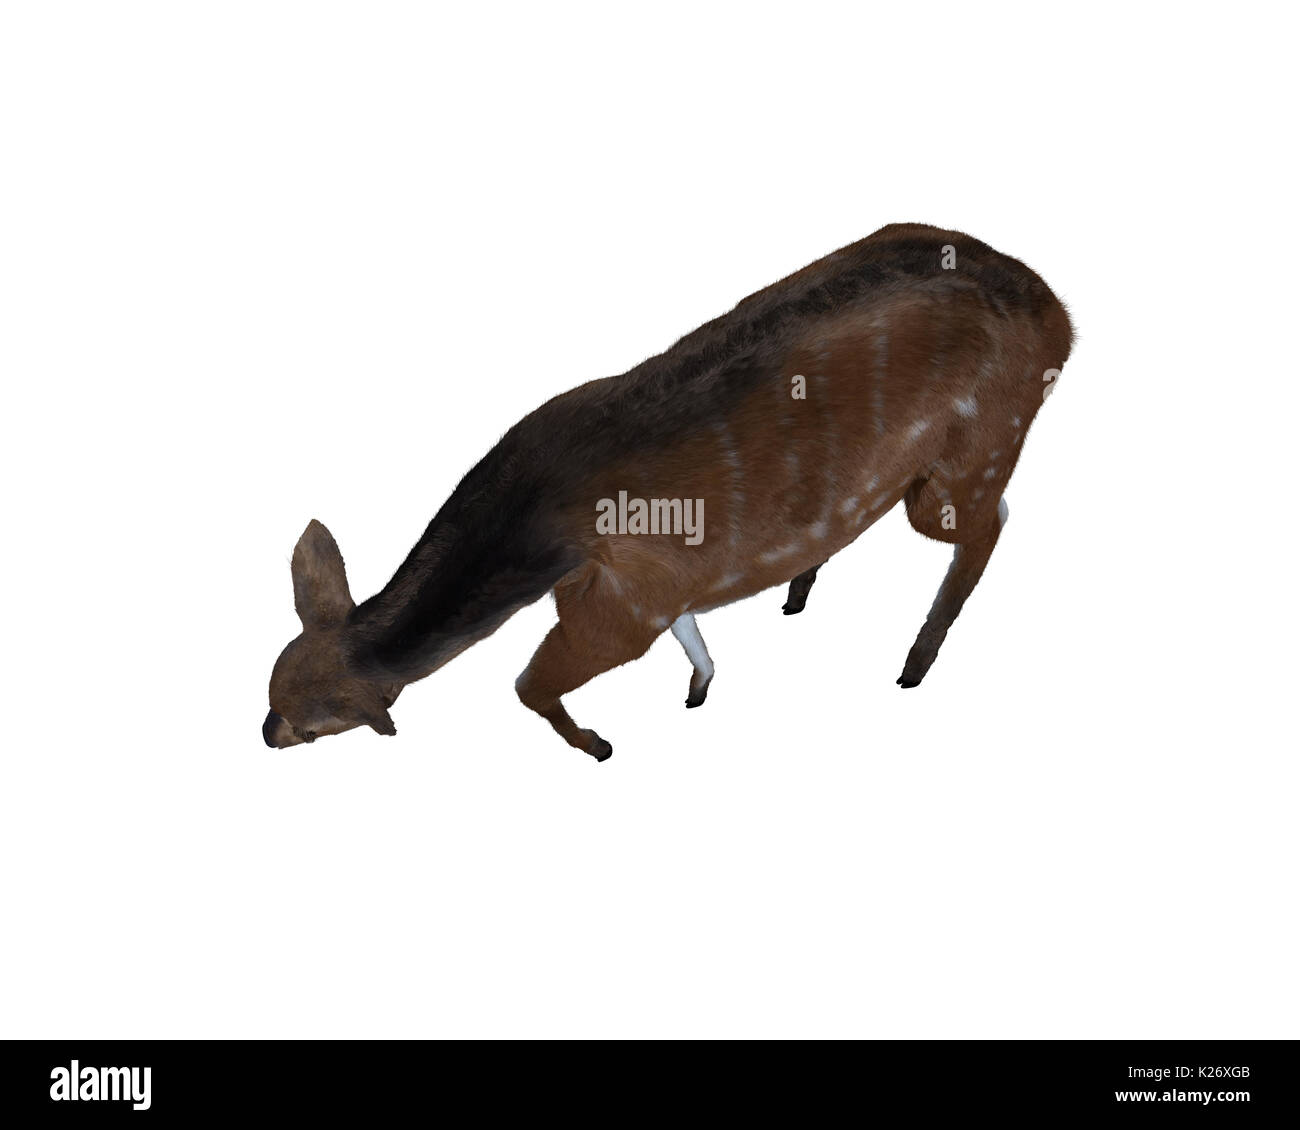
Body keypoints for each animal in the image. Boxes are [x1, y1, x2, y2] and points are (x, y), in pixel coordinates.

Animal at [263, 223, 1073, 761]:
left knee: (989, 522)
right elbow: (693, 637)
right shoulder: (665, 589)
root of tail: (1060, 317)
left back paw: (912, 664)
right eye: (271, 683)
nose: (266, 735)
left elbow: (527, 685)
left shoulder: (622, 607)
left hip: (967, 458)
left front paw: (598, 745)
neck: (541, 530)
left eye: (313, 722)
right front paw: (698, 690)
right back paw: (802, 590)